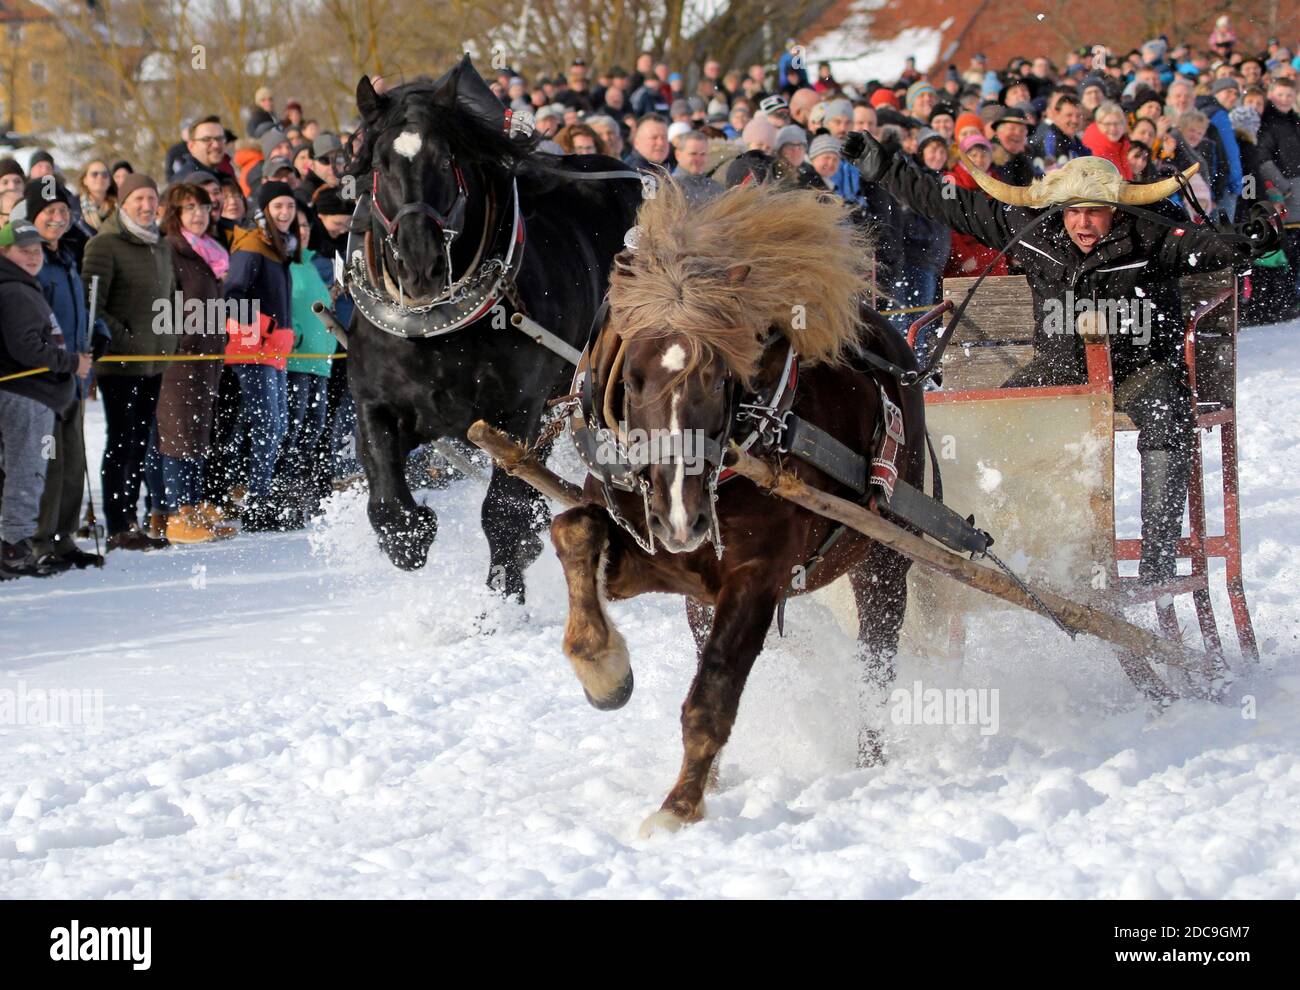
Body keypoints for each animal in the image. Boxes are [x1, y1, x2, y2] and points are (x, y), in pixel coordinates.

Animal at [344, 57, 641, 599]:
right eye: (378, 166)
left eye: (446, 161)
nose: (420, 266)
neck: (436, 334)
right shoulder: (376, 404)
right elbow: (388, 502)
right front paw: (413, 538)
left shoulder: (517, 411)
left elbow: (503, 513)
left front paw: (502, 601)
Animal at [549, 182, 930, 835]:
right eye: (634, 379)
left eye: (719, 376)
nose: (682, 520)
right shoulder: (654, 557)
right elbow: (573, 529)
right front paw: (603, 668)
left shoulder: (758, 576)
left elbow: (714, 694)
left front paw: (678, 807)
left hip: (882, 561)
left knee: (876, 662)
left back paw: (869, 759)